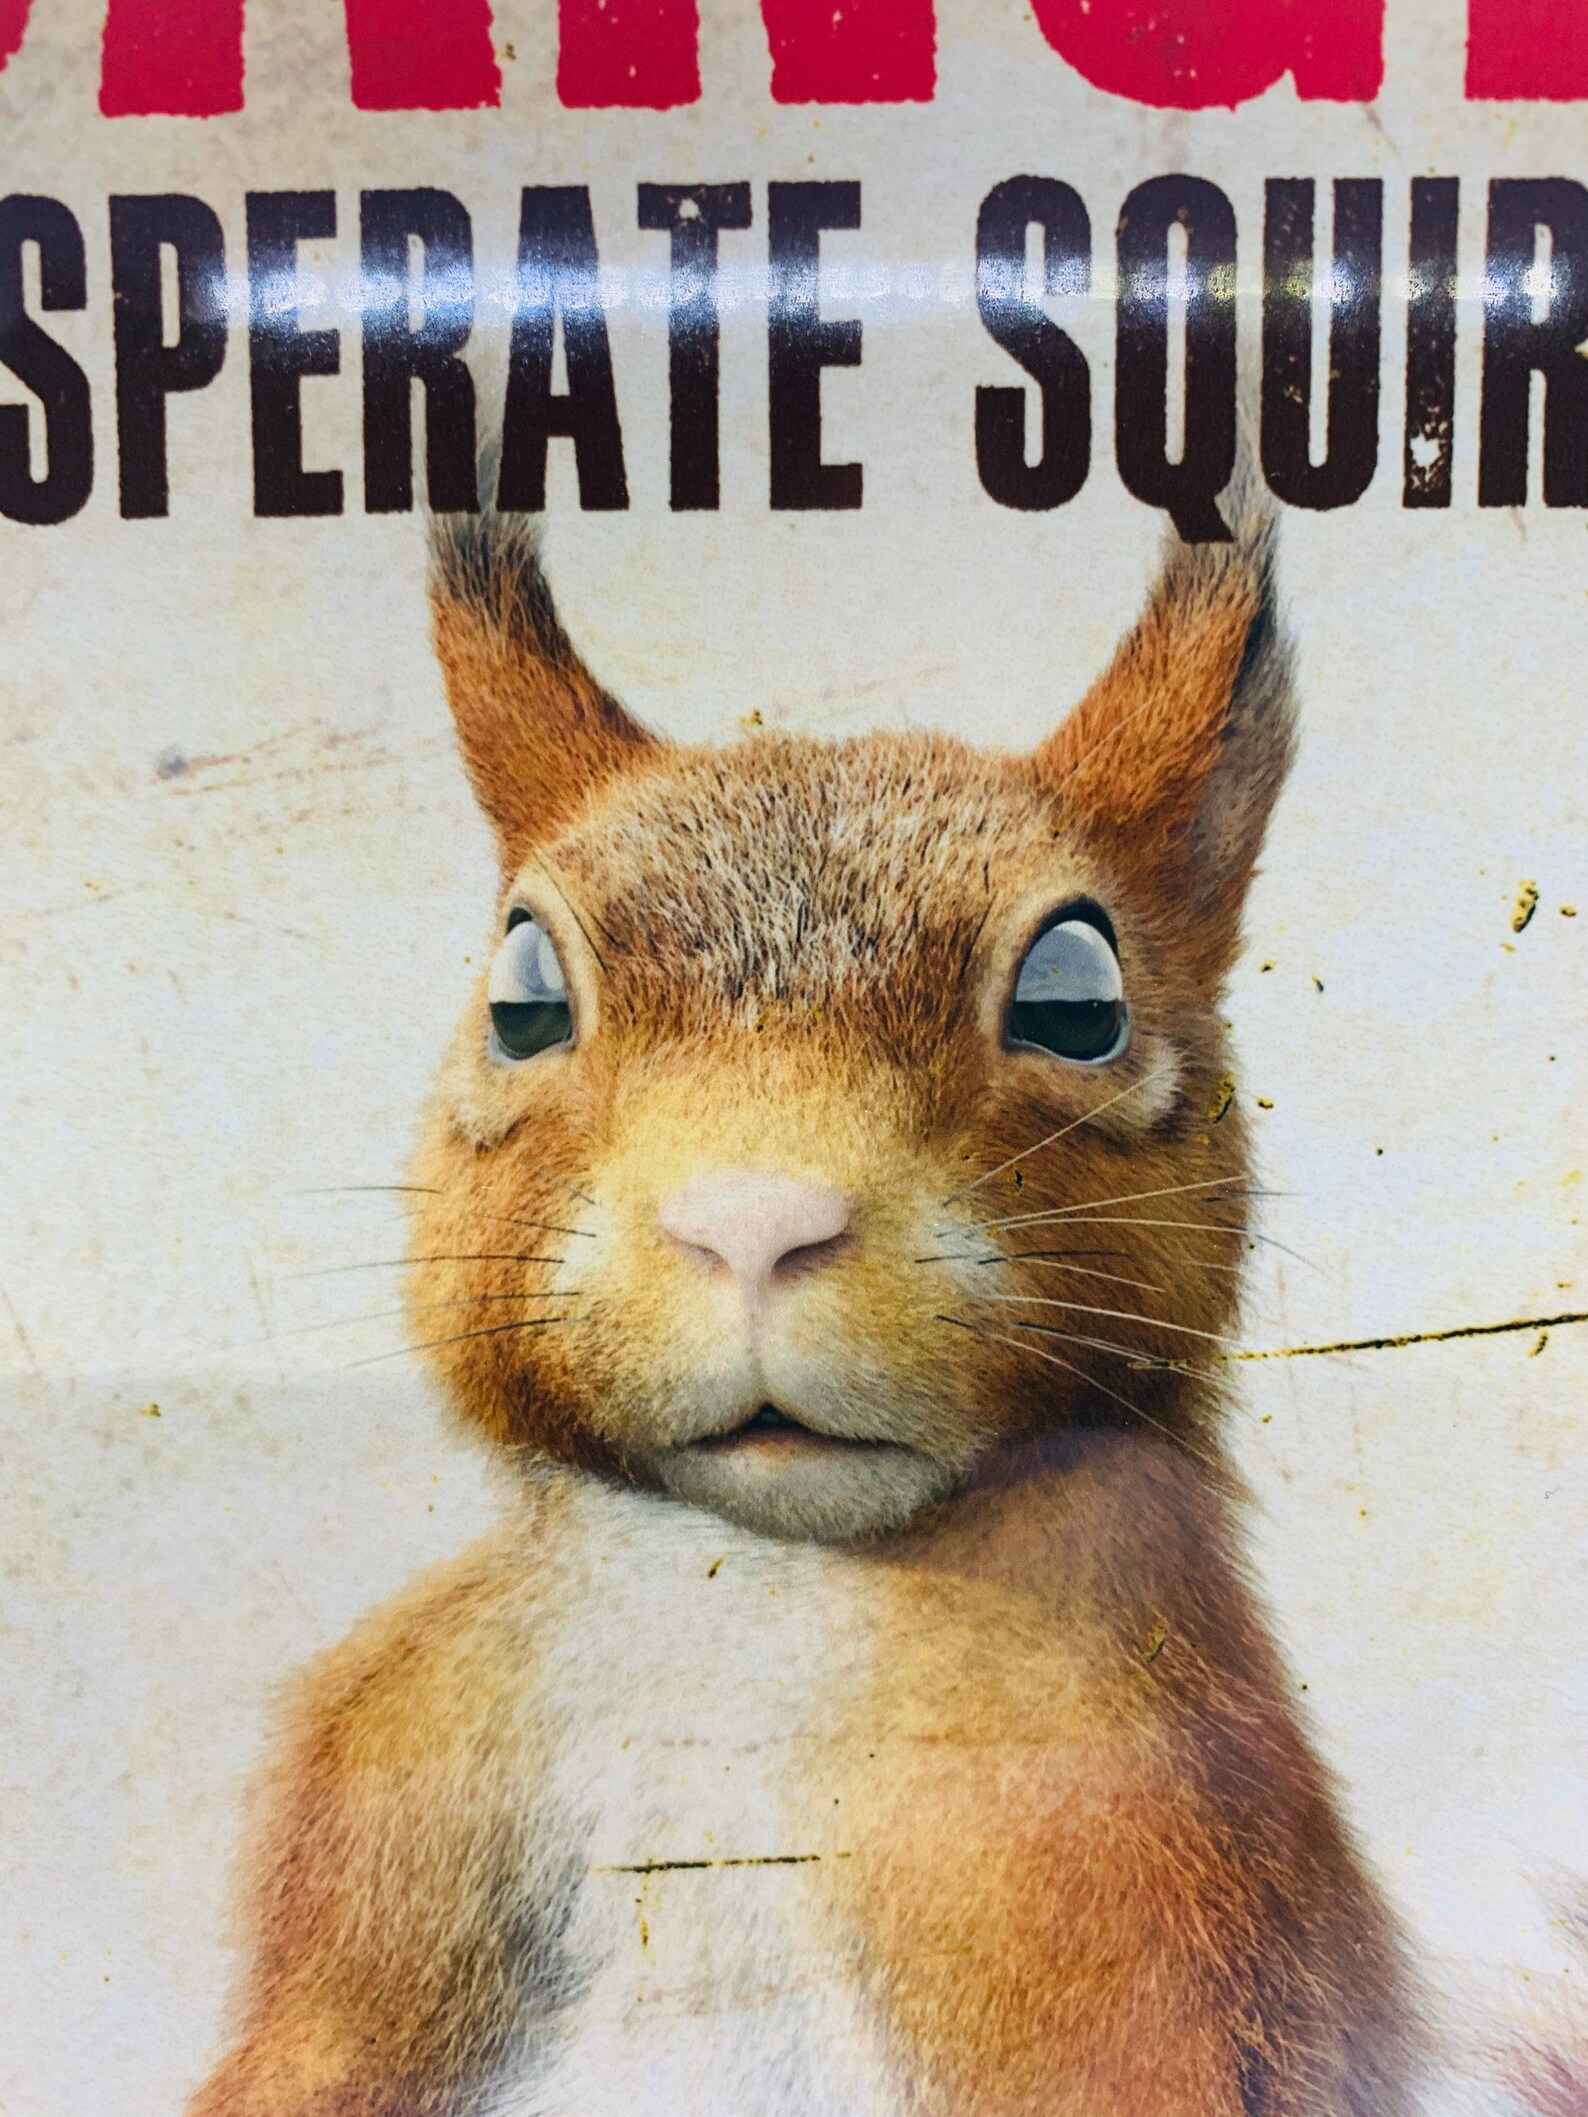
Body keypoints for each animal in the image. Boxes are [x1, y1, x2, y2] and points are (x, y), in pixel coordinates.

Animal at [189, 485, 1421, 2117]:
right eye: (523, 991)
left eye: (1079, 996)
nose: (753, 1219)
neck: (736, 1599)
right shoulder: (401, 1796)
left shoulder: (1141, 1878)